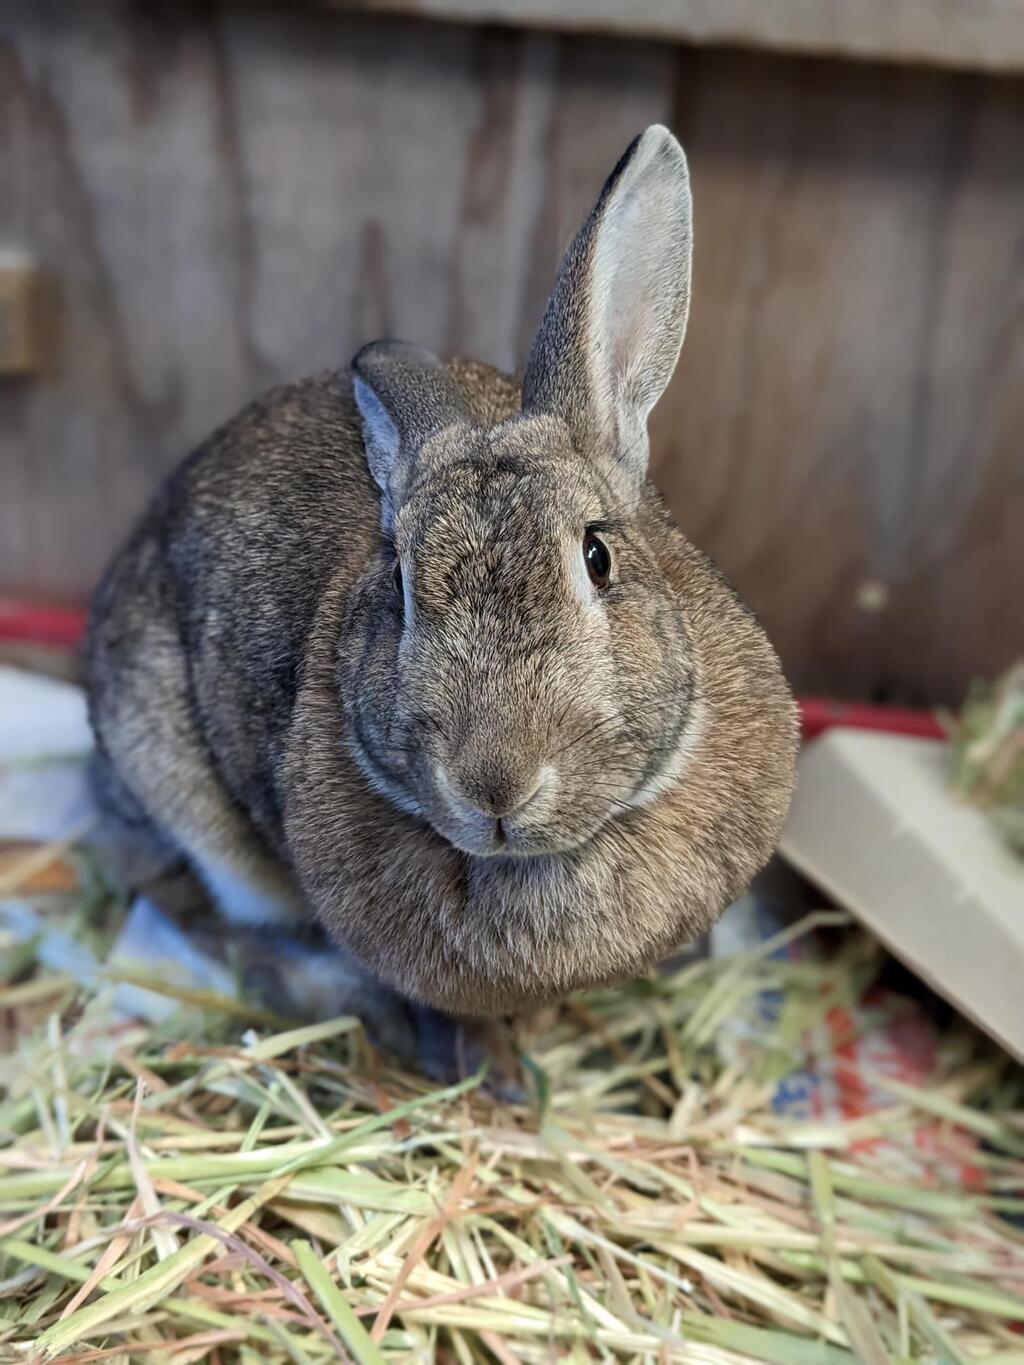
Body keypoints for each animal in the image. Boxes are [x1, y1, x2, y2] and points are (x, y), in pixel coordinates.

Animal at [85, 125, 798, 1057]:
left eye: (598, 556)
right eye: (399, 587)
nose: (495, 783)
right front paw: (490, 1064)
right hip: (178, 789)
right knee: (223, 924)